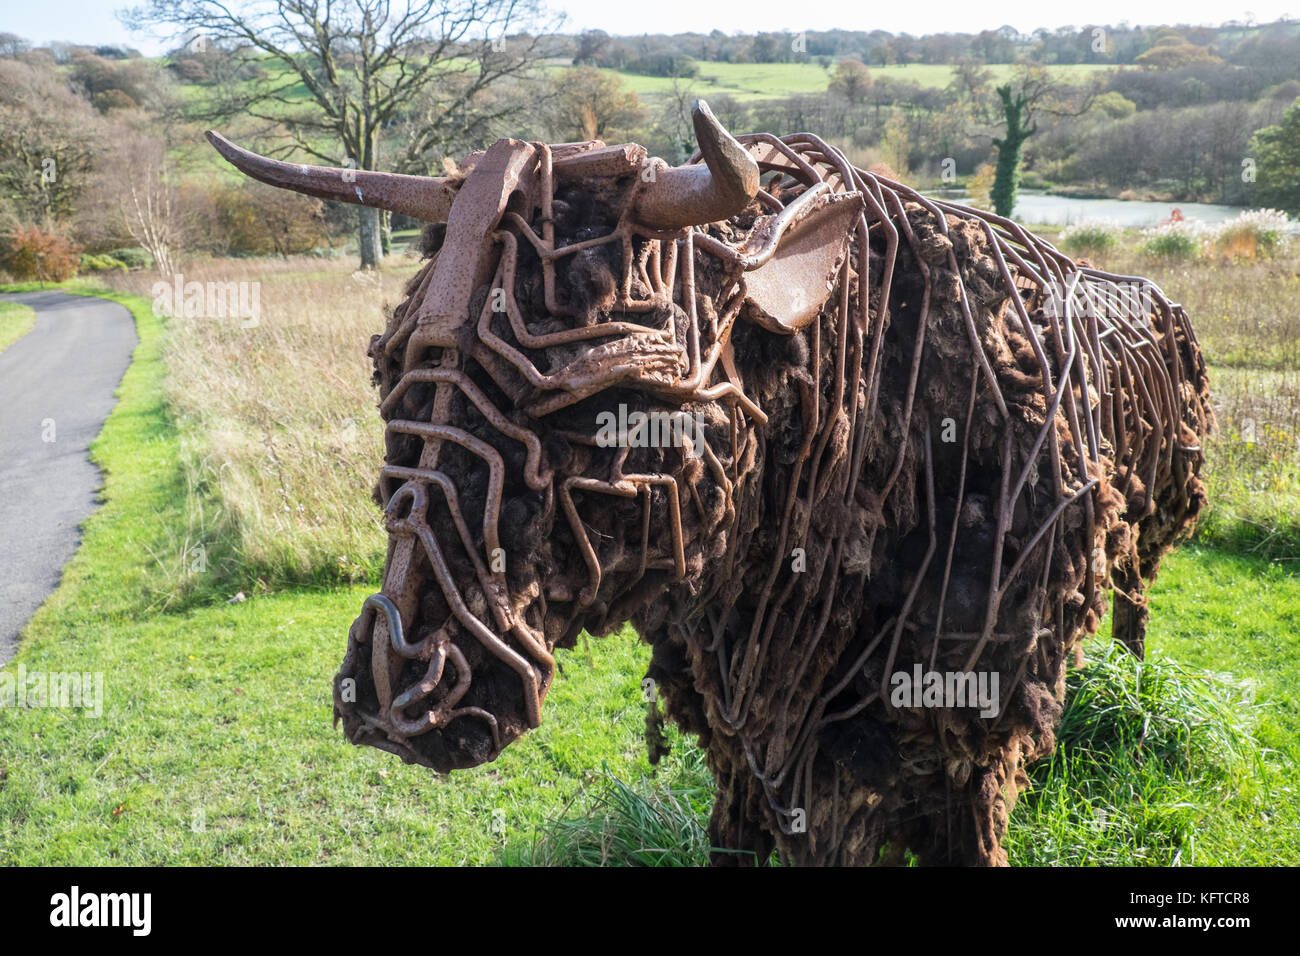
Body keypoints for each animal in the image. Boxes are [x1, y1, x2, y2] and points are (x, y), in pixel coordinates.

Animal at [207, 100, 1212, 865]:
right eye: (388, 368)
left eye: (607, 394)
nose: (396, 688)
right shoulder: (743, 738)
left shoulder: (973, 738)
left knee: (1136, 618)